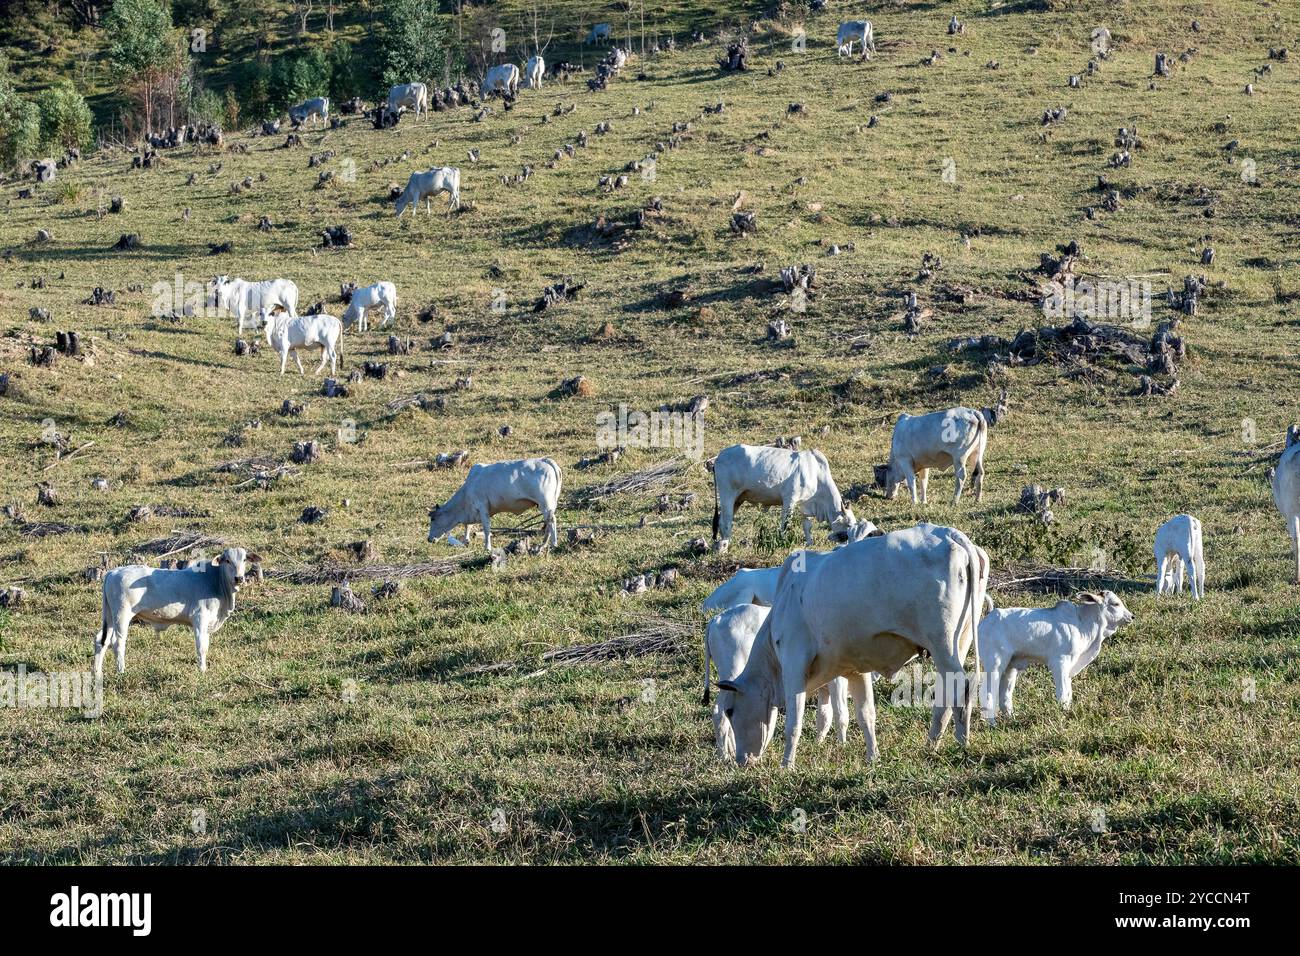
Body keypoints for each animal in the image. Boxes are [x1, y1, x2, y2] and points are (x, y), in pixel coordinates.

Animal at [94, 547, 261, 677]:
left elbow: (206, 645)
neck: (216, 581)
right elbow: (201, 646)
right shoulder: (200, 617)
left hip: (110, 616)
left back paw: (97, 672)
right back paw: (121, 671)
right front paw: (202, 671)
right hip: (122, 614)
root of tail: (114, 571)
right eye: (227, 560)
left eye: (244, 560)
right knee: (118, 642)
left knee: (101, 640)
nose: (239, 578)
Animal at [427, 458, 563, 550]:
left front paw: (487, 547)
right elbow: (468, 526)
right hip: (549, 505)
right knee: (548, 522)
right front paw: (466, 540)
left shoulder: (482, 508)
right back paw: (544, 543)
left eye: (433, 519)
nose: (429, 539)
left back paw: (553, 544)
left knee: (552, 521)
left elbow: (486, 529)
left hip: (545, 504)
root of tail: (545, 460)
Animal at [704, 603, 850, 758]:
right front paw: (843, 746)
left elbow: (824, 718)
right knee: (719, 712)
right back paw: (724, 756)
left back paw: (732, 752)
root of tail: (717, 618)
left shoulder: (824, 689)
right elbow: (841, 715)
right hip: (733, 676)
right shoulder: (838, 680)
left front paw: (818, 745)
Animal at [711, 444, 856, 552]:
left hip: (738, 499)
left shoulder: (805, 505)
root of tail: (719, 457)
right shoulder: (790, 500)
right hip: (727, 494)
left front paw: (809, 543)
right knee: (725, 521)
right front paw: (783, 541)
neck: (815, 473)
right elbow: (785, 523)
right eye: (848, 524)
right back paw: (724, 546)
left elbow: (807, 526)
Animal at [977, 591, 1133, 725]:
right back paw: (992, 723)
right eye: (1115, 603)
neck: (1082, 623)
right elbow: (1063, 693)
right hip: (995, 664)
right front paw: (1063, 714)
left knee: (1005, 695)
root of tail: (990, 614)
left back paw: (1011, 718)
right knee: (987, 692)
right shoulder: (1060, 663)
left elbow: (1069, 693)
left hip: (1010, 668)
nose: (1131, 616)